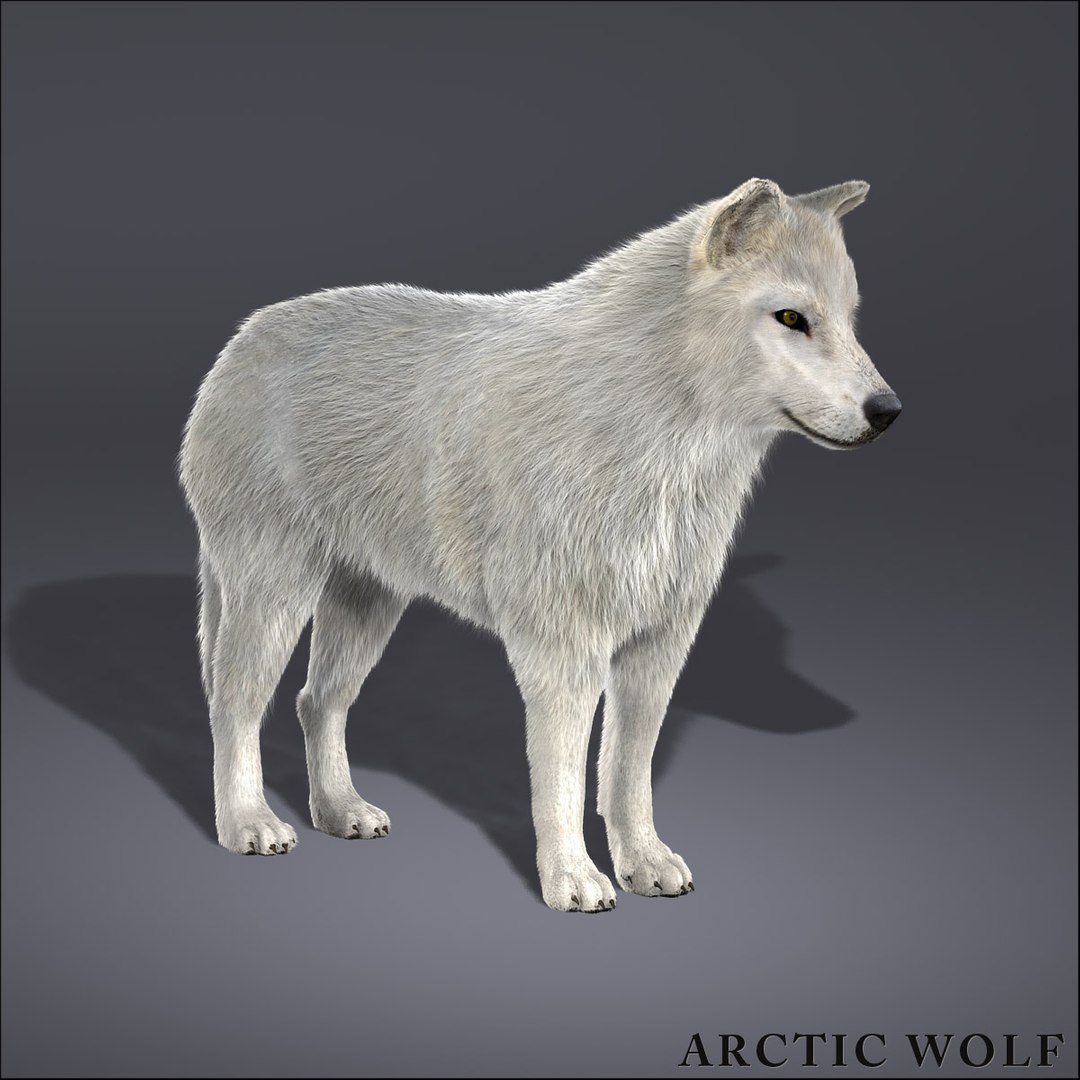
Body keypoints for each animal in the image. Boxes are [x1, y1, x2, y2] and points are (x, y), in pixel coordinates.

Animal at [179, 177, 901, 913]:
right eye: (791, 318)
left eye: (849, 319)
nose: (889, 411)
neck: (656, 439)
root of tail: (243, 338)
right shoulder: (561, 651)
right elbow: (563, 780)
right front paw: (574, 880)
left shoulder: (658, 647)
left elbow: (627, 772)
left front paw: (644, 863)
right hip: (275, 594)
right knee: (234, 705)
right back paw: (247, 823)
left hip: (368, 605)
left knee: (315, 701)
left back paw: (341, 810)